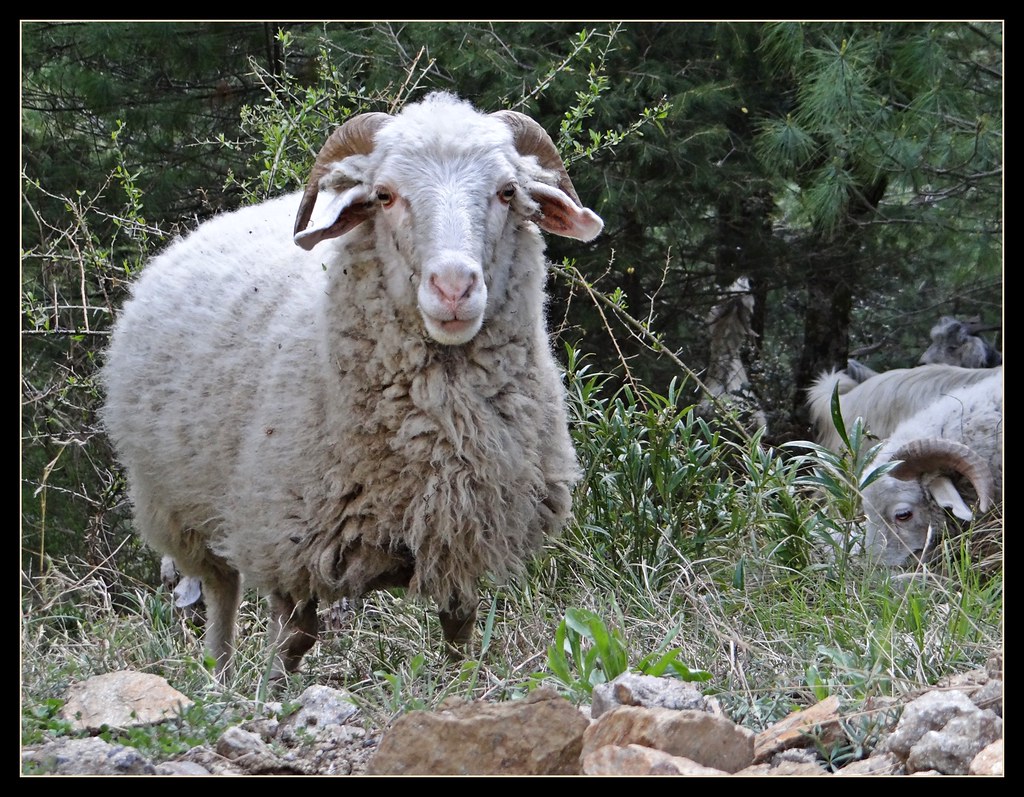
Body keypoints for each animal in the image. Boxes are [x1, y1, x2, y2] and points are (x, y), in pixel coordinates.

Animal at [100, 91, 604, 679]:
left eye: (507, 192)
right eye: (384, 196)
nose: (454, 287)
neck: (437, 425)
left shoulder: (458, 531)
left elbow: (459, 629)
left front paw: (458, 685)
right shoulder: (285, 533)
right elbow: (293, 636)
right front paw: (271, 690)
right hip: (180, 507)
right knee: (222, 590)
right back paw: (220, 676)